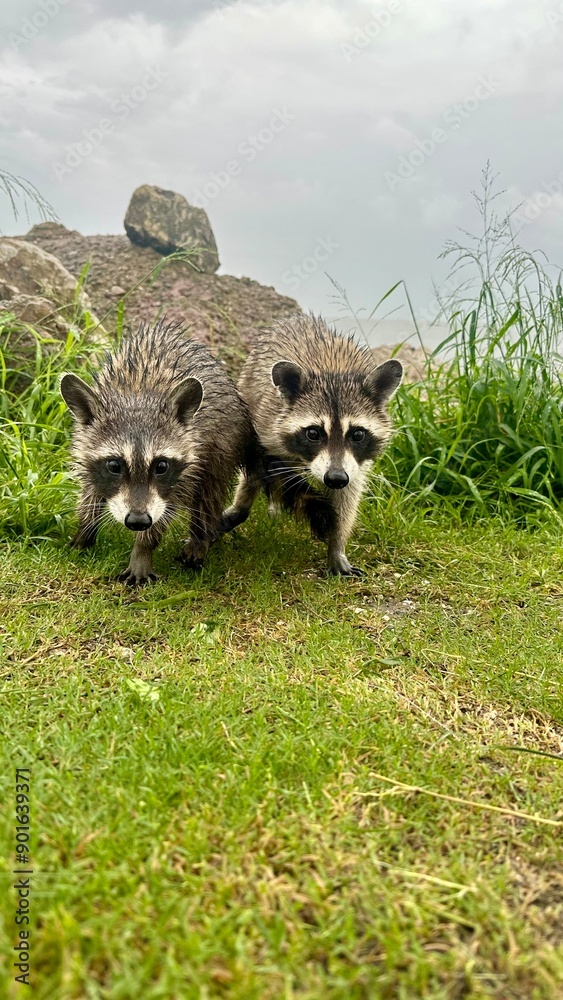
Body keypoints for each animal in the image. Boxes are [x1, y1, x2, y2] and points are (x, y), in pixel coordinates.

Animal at [60, 319, 254, 585]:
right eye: (114, 465)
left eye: (161, 466)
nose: (138, 521)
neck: (137, 396)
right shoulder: (87, 454)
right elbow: (90, 495)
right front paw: (84, 531)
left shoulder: (187, 465)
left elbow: (165, 509)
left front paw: (142, 550)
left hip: (224, 443)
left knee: (210, 493)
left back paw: (199, 538)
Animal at [221, 315, 403, 575]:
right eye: (313, 433)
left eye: (358, 434)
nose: (335, 478)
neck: (335, 372)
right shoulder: (265, 424)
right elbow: (258, 468)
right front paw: (241, 505)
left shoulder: (353, 465)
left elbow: (347, 495)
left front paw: (337, 544)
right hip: (247, 386)